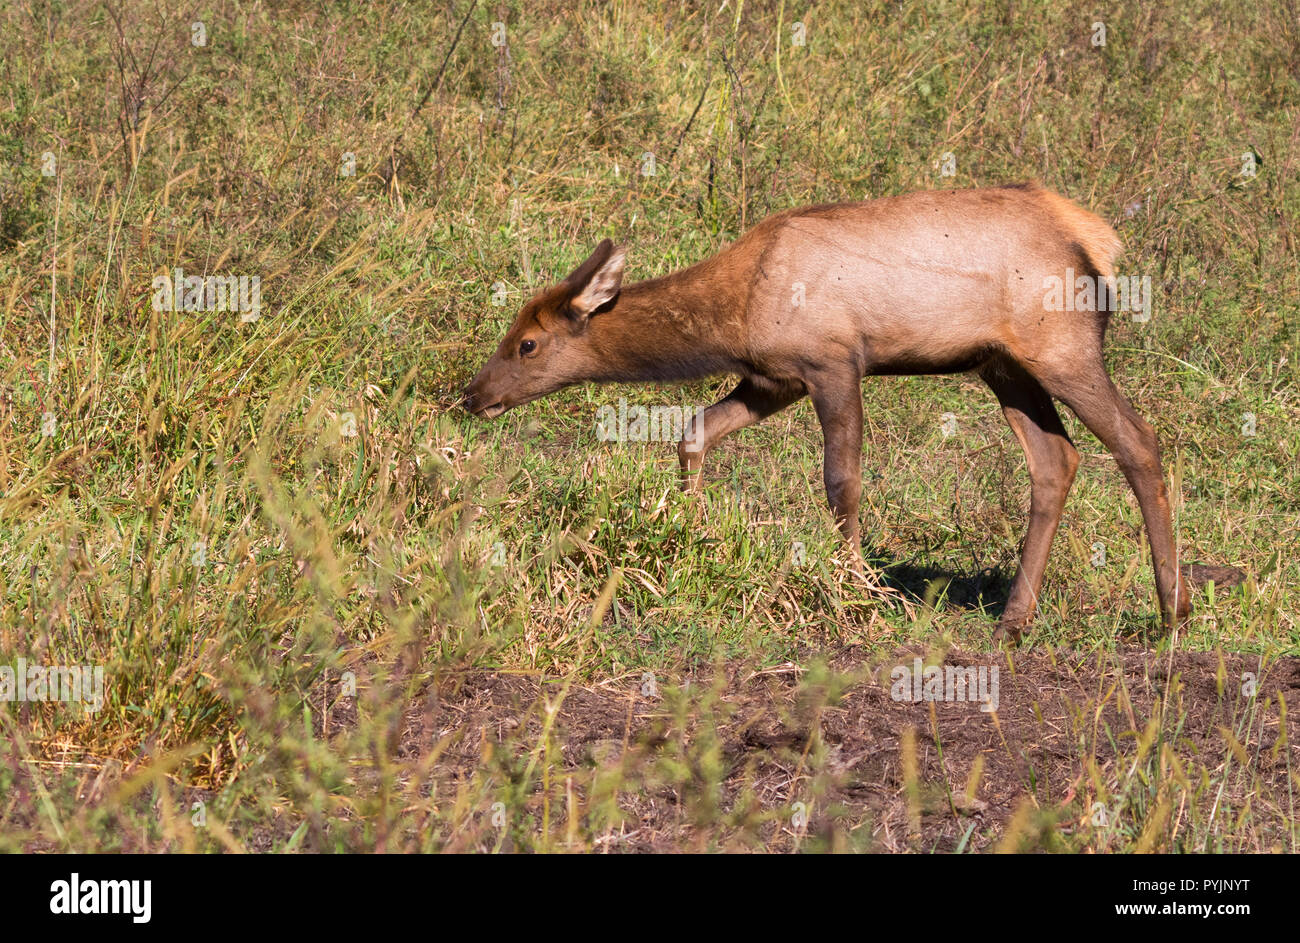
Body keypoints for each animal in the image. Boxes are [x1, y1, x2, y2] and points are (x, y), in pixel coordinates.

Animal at [464, 182, 1226, 643]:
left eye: (527, 343)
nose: (473, 395)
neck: (735, 310)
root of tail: (1096, 240)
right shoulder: (772, 380)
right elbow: (693, 432)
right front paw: (687, 525)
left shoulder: (833, 362)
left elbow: (842, 482)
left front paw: (857, 591)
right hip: (1003, 365)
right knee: (1055, 459)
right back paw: (1013, 618)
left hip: (1062, 348)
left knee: (1138, 440)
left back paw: (1173, 610)